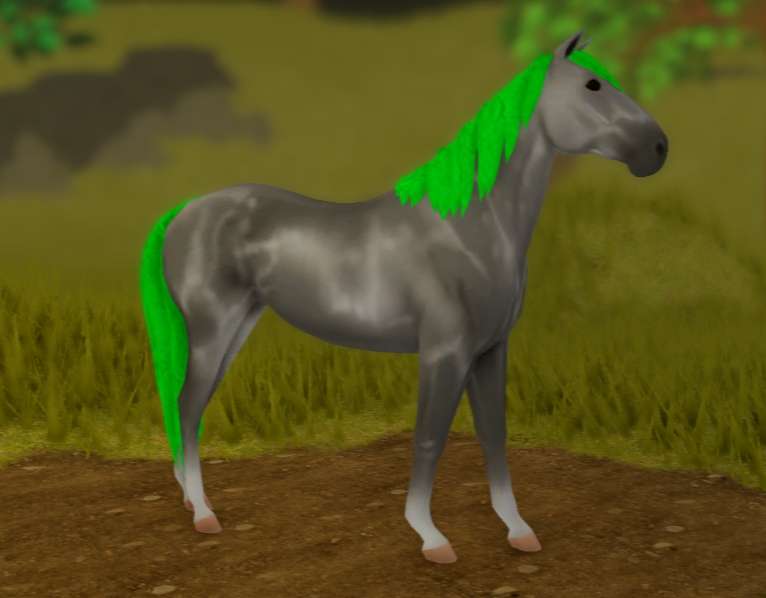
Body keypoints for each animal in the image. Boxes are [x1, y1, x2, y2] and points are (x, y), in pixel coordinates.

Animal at [140, 29, 668, 564]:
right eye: (593, 84)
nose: (658, 147)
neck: (469, 229)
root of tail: (187, 210)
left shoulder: (490, 351)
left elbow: (494, 435)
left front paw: (518, 529)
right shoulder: (445, 352)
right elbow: (430, 437)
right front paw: (430, 536)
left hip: (238, 325)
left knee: (191, 407)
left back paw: (191, 500)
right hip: (213, 328)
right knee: (188, 405)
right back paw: (204, 514)